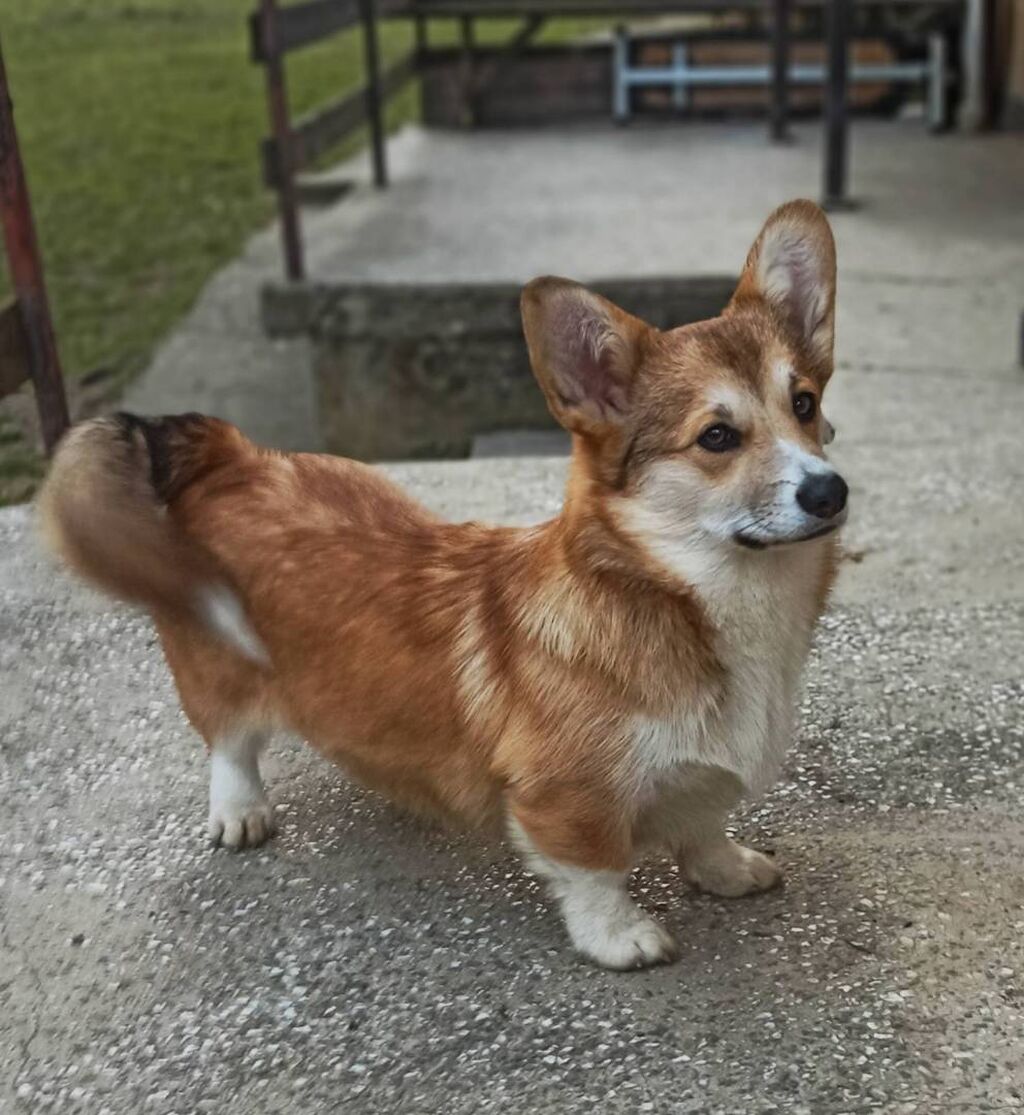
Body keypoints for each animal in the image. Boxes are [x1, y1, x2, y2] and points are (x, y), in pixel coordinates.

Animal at [40, 205, 847, 972]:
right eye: (717, 436)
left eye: (805, 404)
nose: (830, 491)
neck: (689, 596)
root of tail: (229, 457)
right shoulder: (564, 800)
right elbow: (594, 872)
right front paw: (622, 936)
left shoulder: (706, 780)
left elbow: (703, 827)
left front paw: (726, 868)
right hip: (218, 666)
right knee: (229, 745)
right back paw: (240, 810)